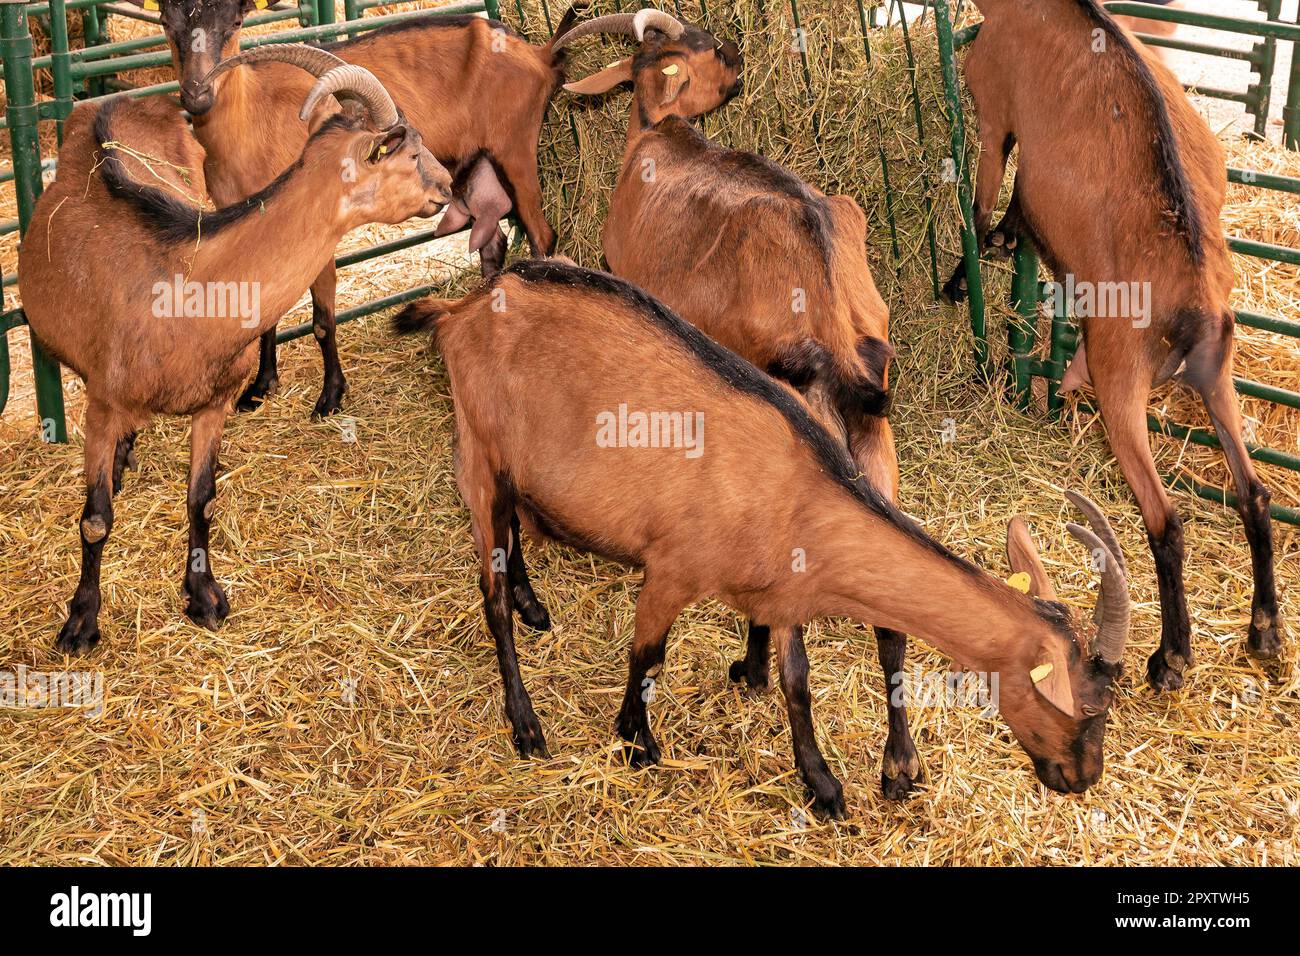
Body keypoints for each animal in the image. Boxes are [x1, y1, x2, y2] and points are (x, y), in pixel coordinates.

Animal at [19, 47, 453, 655]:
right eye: (411, 153)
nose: (450, 183)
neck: (191, 284)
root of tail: (113, 98)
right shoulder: (103, 405)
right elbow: (96, 519)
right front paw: (81, 622)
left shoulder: (213, 403)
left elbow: (201, 497)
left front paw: (203, 597)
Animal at [131, 0, 585, 417]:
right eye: (165, 21)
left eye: (237, 22)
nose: (197, 94)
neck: (250, 117)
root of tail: (538, 52)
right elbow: (263, 309)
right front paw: (259, 388)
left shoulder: (318, 235)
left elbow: (322, 320)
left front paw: (329, 398)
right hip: (477, 168)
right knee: (493, 241)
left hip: (516, 152)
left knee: (542, 234)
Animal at [395, 260, 1133, 817]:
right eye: (1080, 707)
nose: (1083, 778)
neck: (798, 485)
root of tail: (464, 309)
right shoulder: (670, 569)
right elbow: (648, 654)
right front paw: (636, 742)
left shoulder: (784, 589)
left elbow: (796, 681)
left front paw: (820, 779)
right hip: (478, 452)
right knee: (488, 590)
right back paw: (525, 722)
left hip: (512, 472)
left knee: (513, 541)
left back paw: (533, 603)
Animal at [556, 9, 919, 799]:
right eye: (697, 44)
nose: (737, 54)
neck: (661, 136)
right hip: (871, 435)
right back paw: (899, 764)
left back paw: (810, 762)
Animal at [943, 0, 1281, 690]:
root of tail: (1195, 299)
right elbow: (1015, 206)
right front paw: (1003, 242)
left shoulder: (992, 108)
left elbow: (981, 202)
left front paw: (961, 276)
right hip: (1218, 376)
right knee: (1254, 492)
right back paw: (1264, 629)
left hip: (1119, 375)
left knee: (1166, 518)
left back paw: (1171, 656)